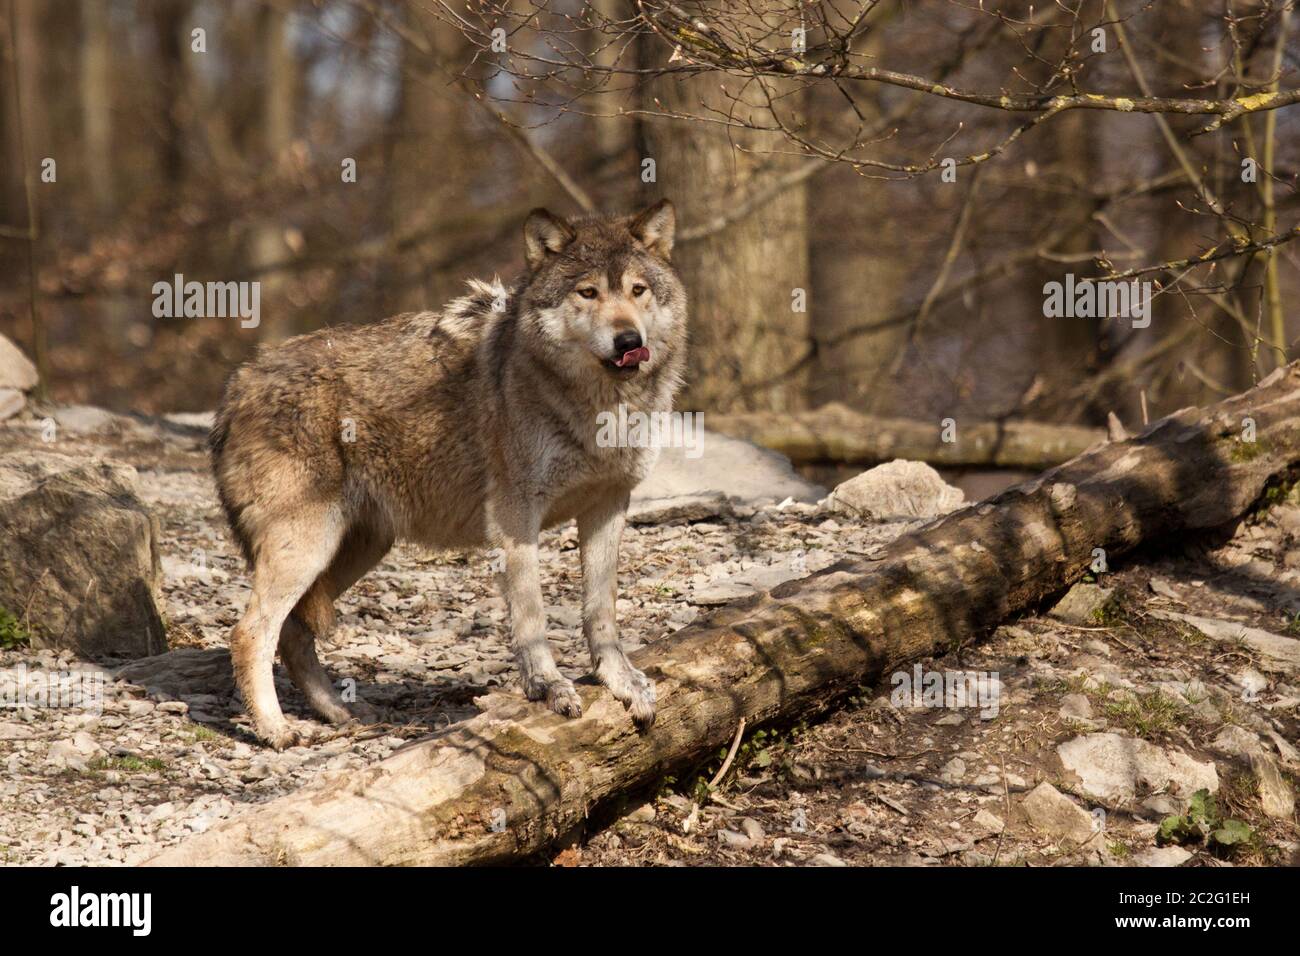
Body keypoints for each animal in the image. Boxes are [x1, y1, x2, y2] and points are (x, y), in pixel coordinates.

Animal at [209, 200, 685, 749]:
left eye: (637, 290)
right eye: (588, 292)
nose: (629, 340)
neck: (598, 407)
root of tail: (237, 383)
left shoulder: (609, 504)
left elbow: (601, 610)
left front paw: (620, 681)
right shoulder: (514, 516)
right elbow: (531, 614)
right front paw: (547, 688)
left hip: (355, 549)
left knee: (292, 632)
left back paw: (338, 713)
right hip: (308, 546)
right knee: (249, 632)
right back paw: (275, 730)